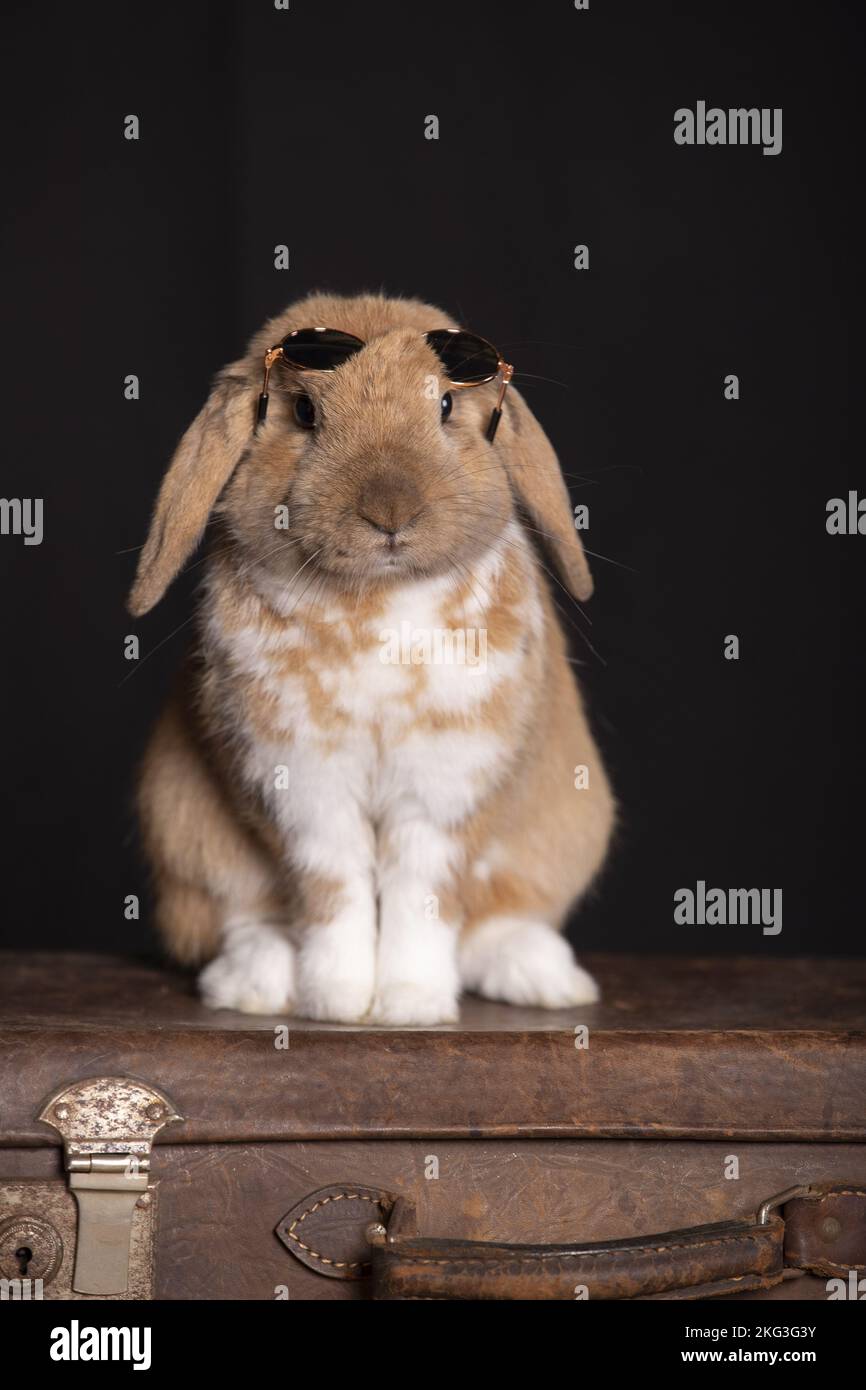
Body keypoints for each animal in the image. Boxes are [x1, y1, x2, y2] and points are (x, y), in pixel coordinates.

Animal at [128, 292, 615, 1025]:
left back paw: (544, 978)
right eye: (304, 413)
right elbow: (334, 891)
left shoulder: (446, 788)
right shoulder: (304, 788)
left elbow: (424, 897)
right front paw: (337, 999)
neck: (378, 605)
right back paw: (255, 983)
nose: (390, 511)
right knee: (240, 918)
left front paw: (412, 1004)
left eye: (446, 405)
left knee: (497, 921)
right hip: (188, 840)